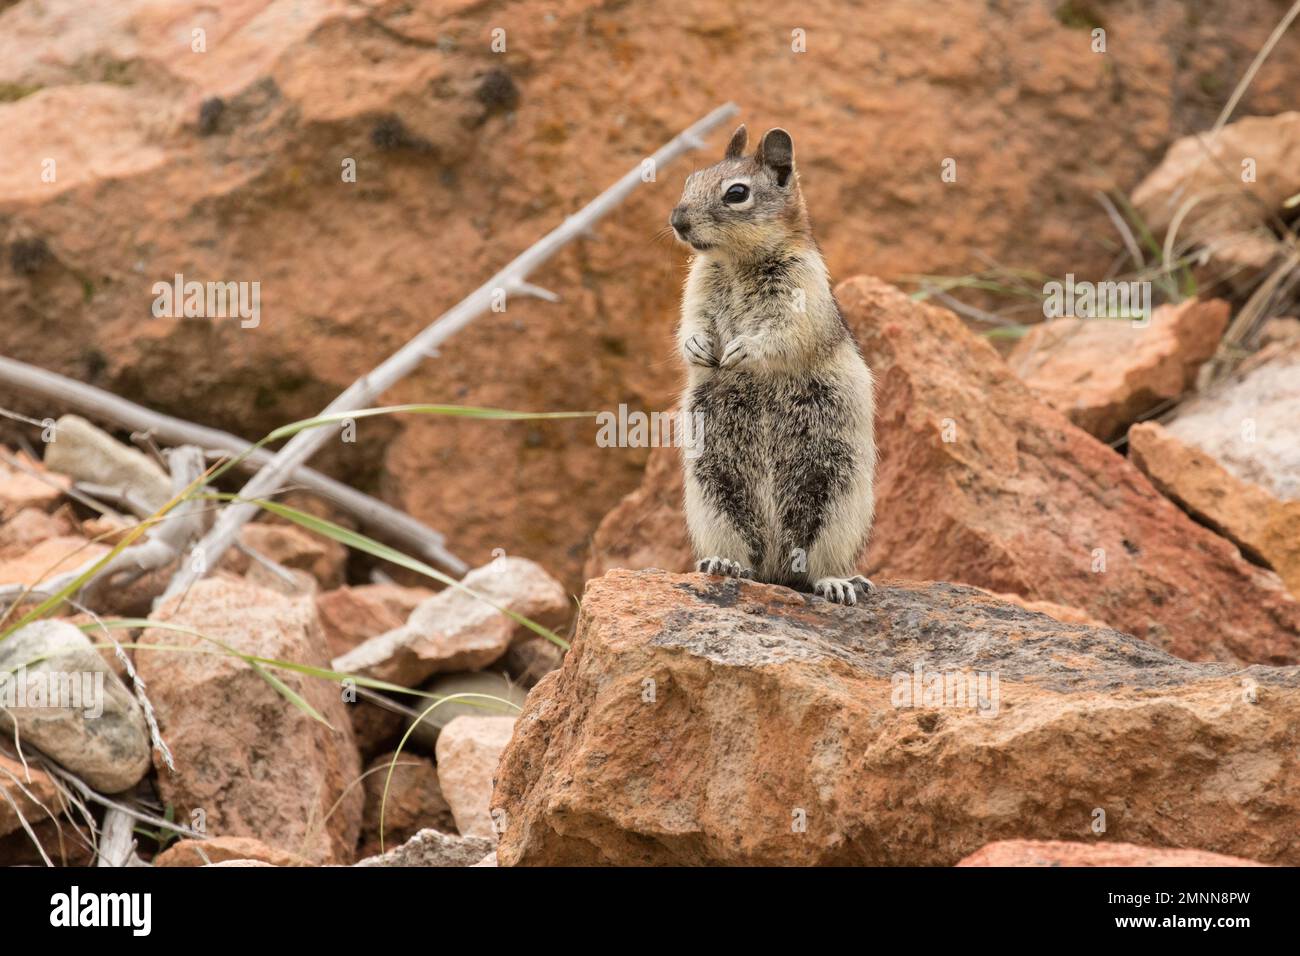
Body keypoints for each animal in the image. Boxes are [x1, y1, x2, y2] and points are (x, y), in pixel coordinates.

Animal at [669, 124, 877, 605]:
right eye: (690, 180)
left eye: (737, 193)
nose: (677, 220)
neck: (736, 261)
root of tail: (778, 568)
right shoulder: (697, 288)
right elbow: (691, 322)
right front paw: (698, 348)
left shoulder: (801, 294)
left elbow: (781, 334)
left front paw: (741, 351)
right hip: (713, 493)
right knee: (741, 553)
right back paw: (725, 564)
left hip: (837, 497)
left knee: (820, 563)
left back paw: (836, 582)